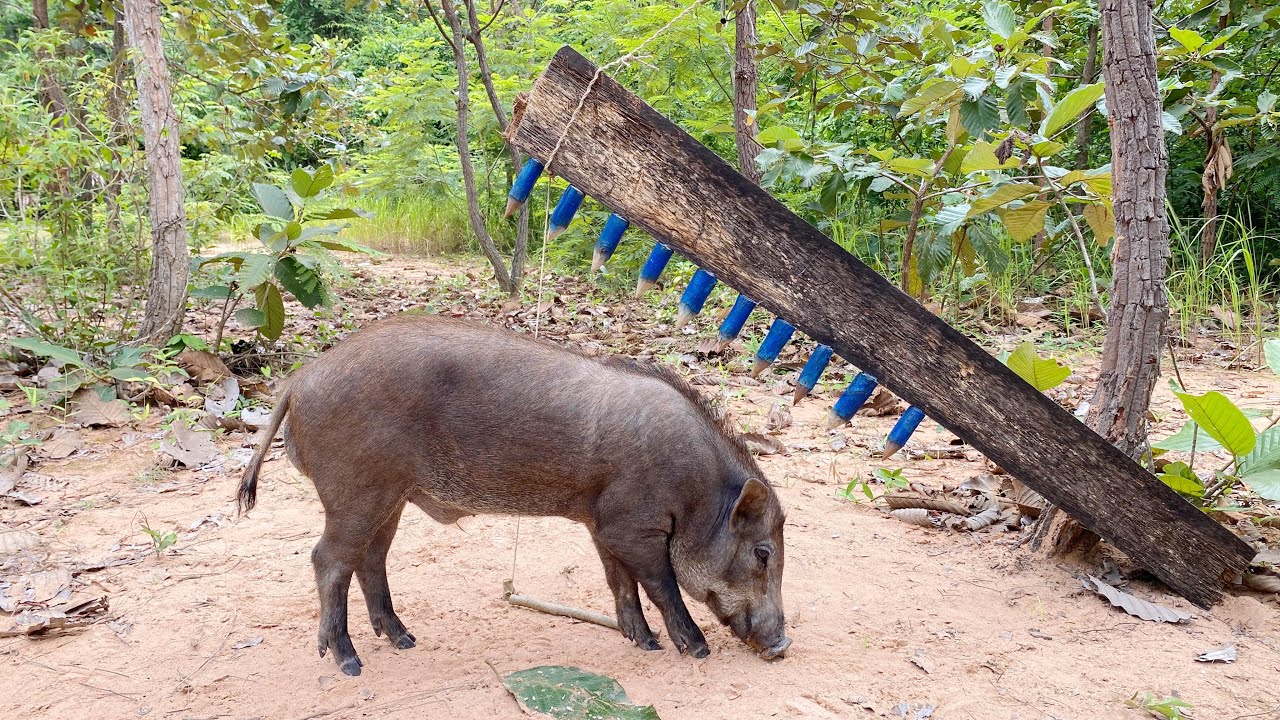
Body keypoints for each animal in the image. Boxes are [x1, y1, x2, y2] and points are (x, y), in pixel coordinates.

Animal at [239, 315, 790, 676]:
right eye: (763, 553)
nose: (783, 643)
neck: (698, 493)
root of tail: (298, 382)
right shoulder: (632, 525)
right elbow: (661, 584)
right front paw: (696, 650)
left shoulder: (602, 524)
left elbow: (619, 581)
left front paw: (644, 644)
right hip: (358, 492)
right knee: (327, 559)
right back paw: (349, 663)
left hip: (389, 498)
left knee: (371, 559)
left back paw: (405, 640)